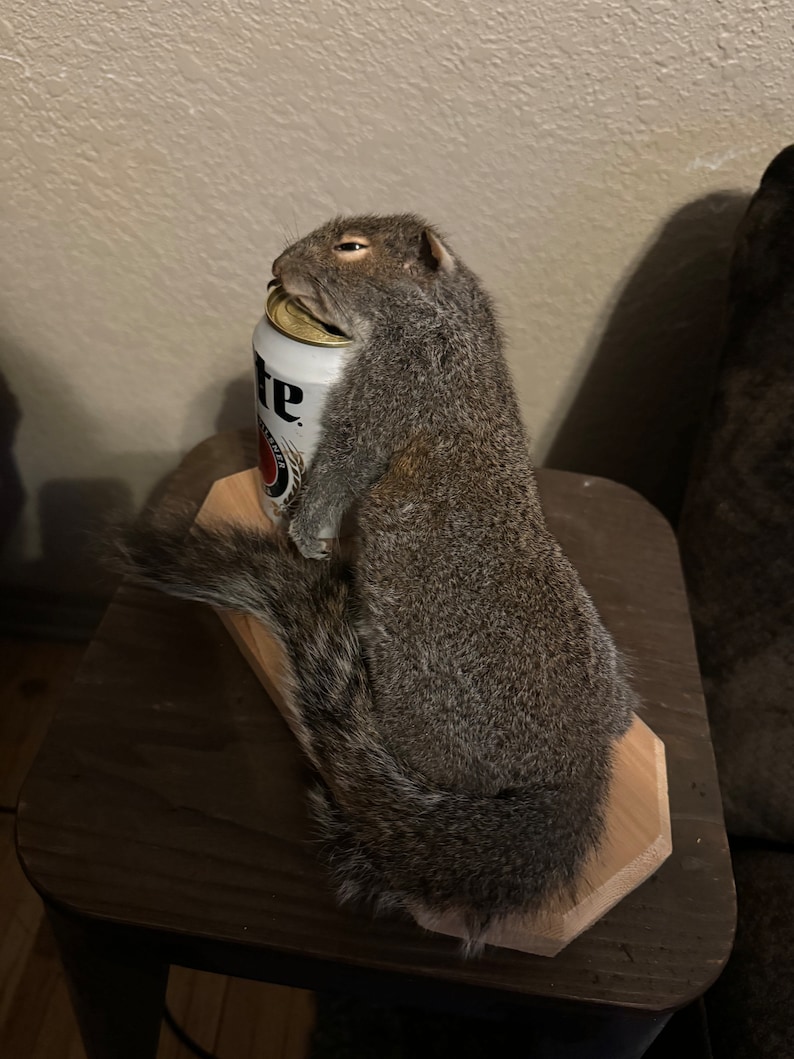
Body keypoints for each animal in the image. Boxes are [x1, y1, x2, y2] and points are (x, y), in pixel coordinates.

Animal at [117, 214, 638, 952]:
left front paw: (307, 529)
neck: (453, 319)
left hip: (421, 703)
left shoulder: (392, 384)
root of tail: (576, 769)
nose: (275, 267)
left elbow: (344, 460)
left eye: (352, 248)